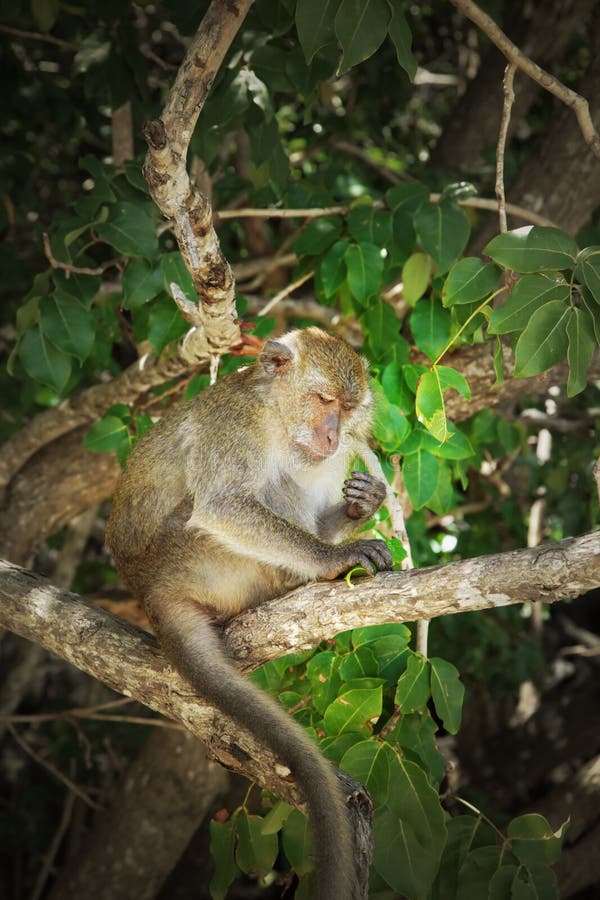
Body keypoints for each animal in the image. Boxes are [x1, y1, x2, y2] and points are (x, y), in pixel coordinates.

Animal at [105, 326, 393, 899]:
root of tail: (150, 592)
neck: (275, 414)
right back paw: (297, 579)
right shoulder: (234, 430)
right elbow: (222, 506)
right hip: (200, 560)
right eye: (323, 400)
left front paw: (361, 505)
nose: (333, 435)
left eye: (348, 408)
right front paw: (332, 557)